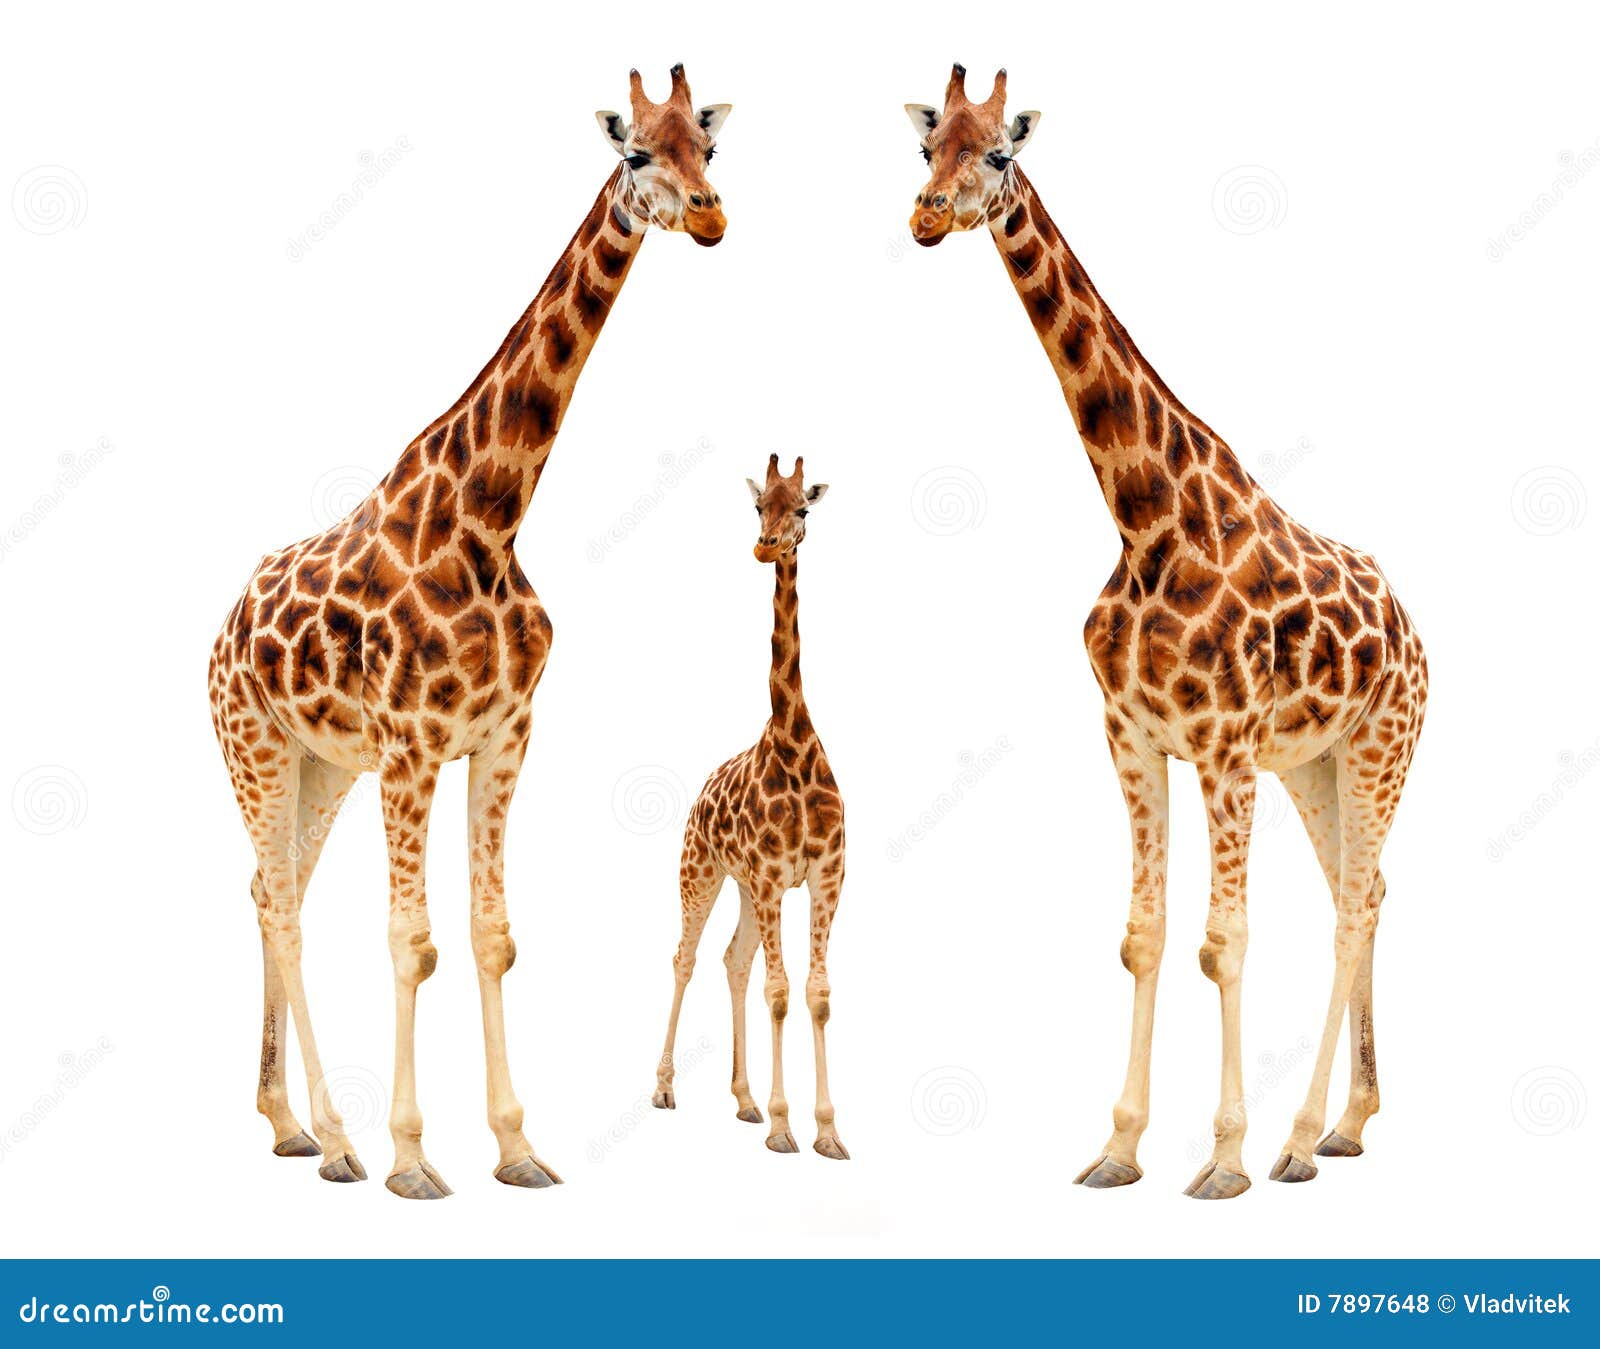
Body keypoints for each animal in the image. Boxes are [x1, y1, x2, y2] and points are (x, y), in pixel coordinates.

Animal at [207, 65, 732, 1199]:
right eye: (638, 154)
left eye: (708, 149)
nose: (712, 216)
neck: (491, 515)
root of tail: (223, 628)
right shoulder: (412, 746)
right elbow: (414, 941)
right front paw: (413, 1157)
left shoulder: (499, 738)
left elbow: (493, 939)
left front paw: (517, 1146)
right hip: (256, 747)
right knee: (280, 902)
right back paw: (342, 1139)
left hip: (322, 765)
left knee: (277, 890)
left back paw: (289, 1123)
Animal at [651, 456, 848, 1160]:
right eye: (759, 504)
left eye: (804, 509)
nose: (766, 546)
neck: (793, 744)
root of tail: (701, 791)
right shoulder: (770, 880)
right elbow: (781, 992)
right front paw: (786, 1127)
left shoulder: (823, 878)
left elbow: (816, 994)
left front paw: (828, 1131)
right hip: (701, 872)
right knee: (684, 958)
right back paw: (663, 1089)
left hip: (738, 883)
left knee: (733, 962)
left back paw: (742, 1100)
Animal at [904, 66, 1428, 1198]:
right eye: (927, 149)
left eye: (997, 154)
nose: (924, 216)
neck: (1143, 515)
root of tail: (1413, 629)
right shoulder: (1135, 738)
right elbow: (1142, 938)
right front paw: (1118, 1146)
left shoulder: (1222, 747)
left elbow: (1221, 940)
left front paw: (1222, 1157)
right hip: (1313, 763)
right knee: (1359, 891)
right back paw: (1346, 1123)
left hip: (1379, 747)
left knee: (1354, 905)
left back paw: (1295, 1139)